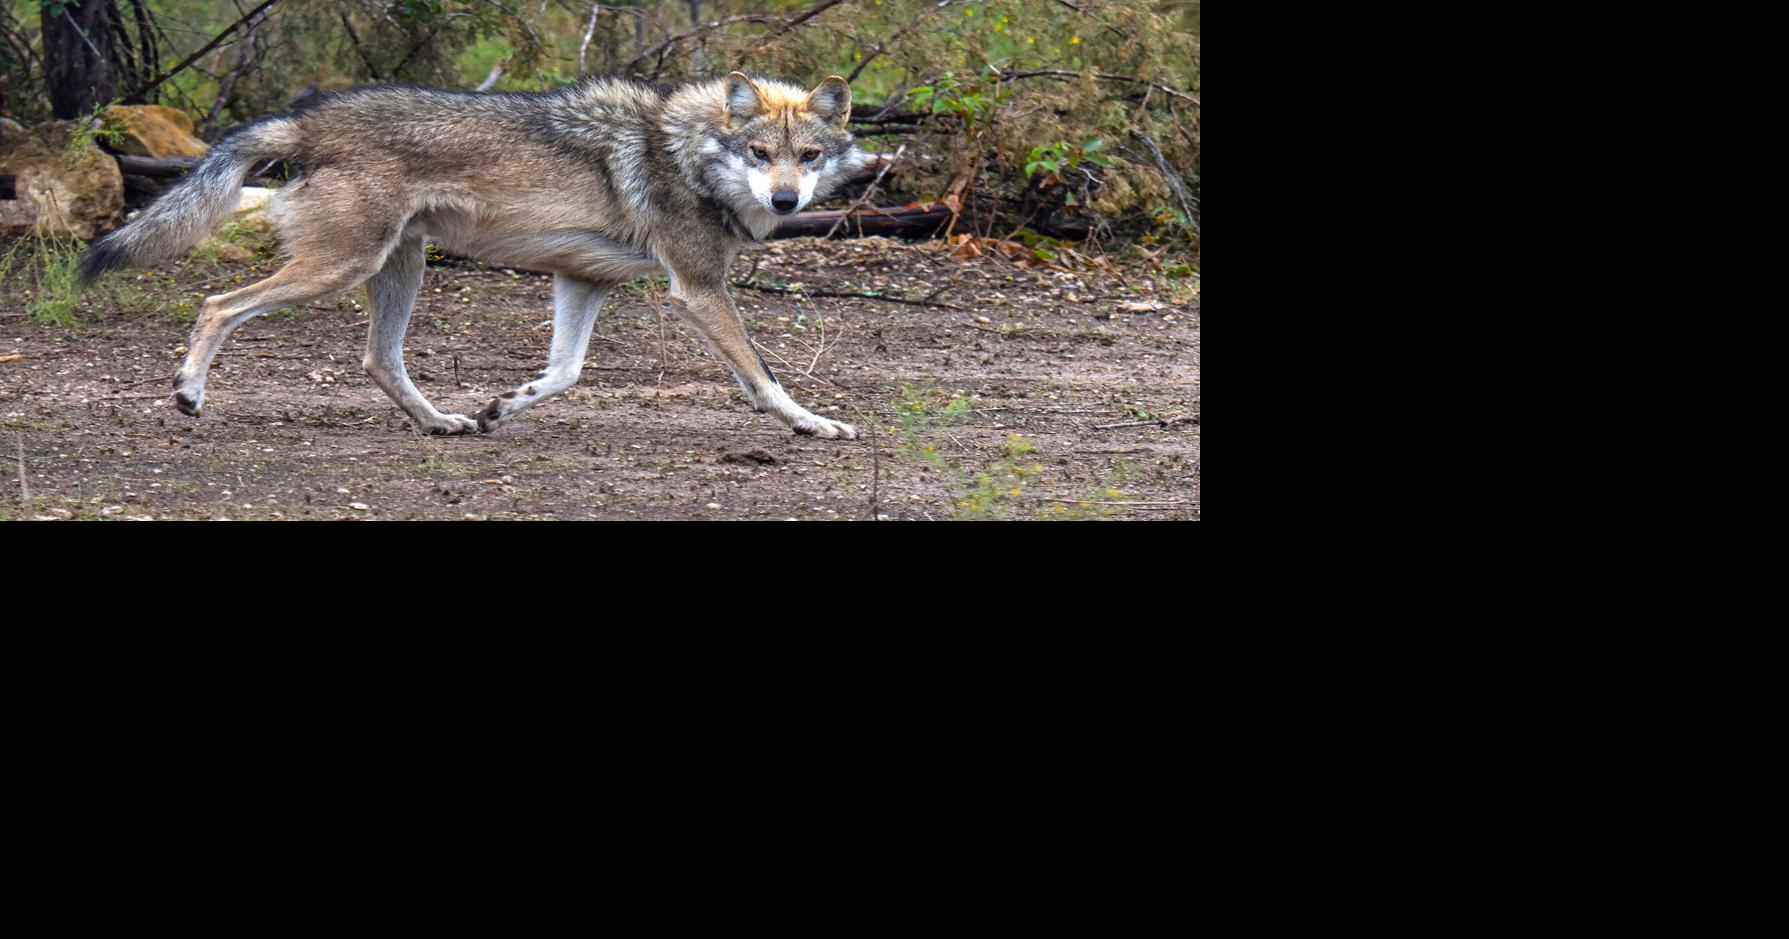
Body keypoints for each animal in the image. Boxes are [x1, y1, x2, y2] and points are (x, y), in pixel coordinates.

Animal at [81, 72, 879, 439]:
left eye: (808, 157)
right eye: (760, 155)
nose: (787, 202)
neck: (688, 156)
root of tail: (309, 118)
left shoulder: (582, 280)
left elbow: (564, 373)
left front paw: (503, 406)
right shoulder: (697, 291)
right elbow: (764, 379)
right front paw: (814, 425)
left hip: (395, 270)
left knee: (378, 360)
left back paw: (441, 423)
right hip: (340, 269)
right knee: (218, 303)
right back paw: (188, 393)